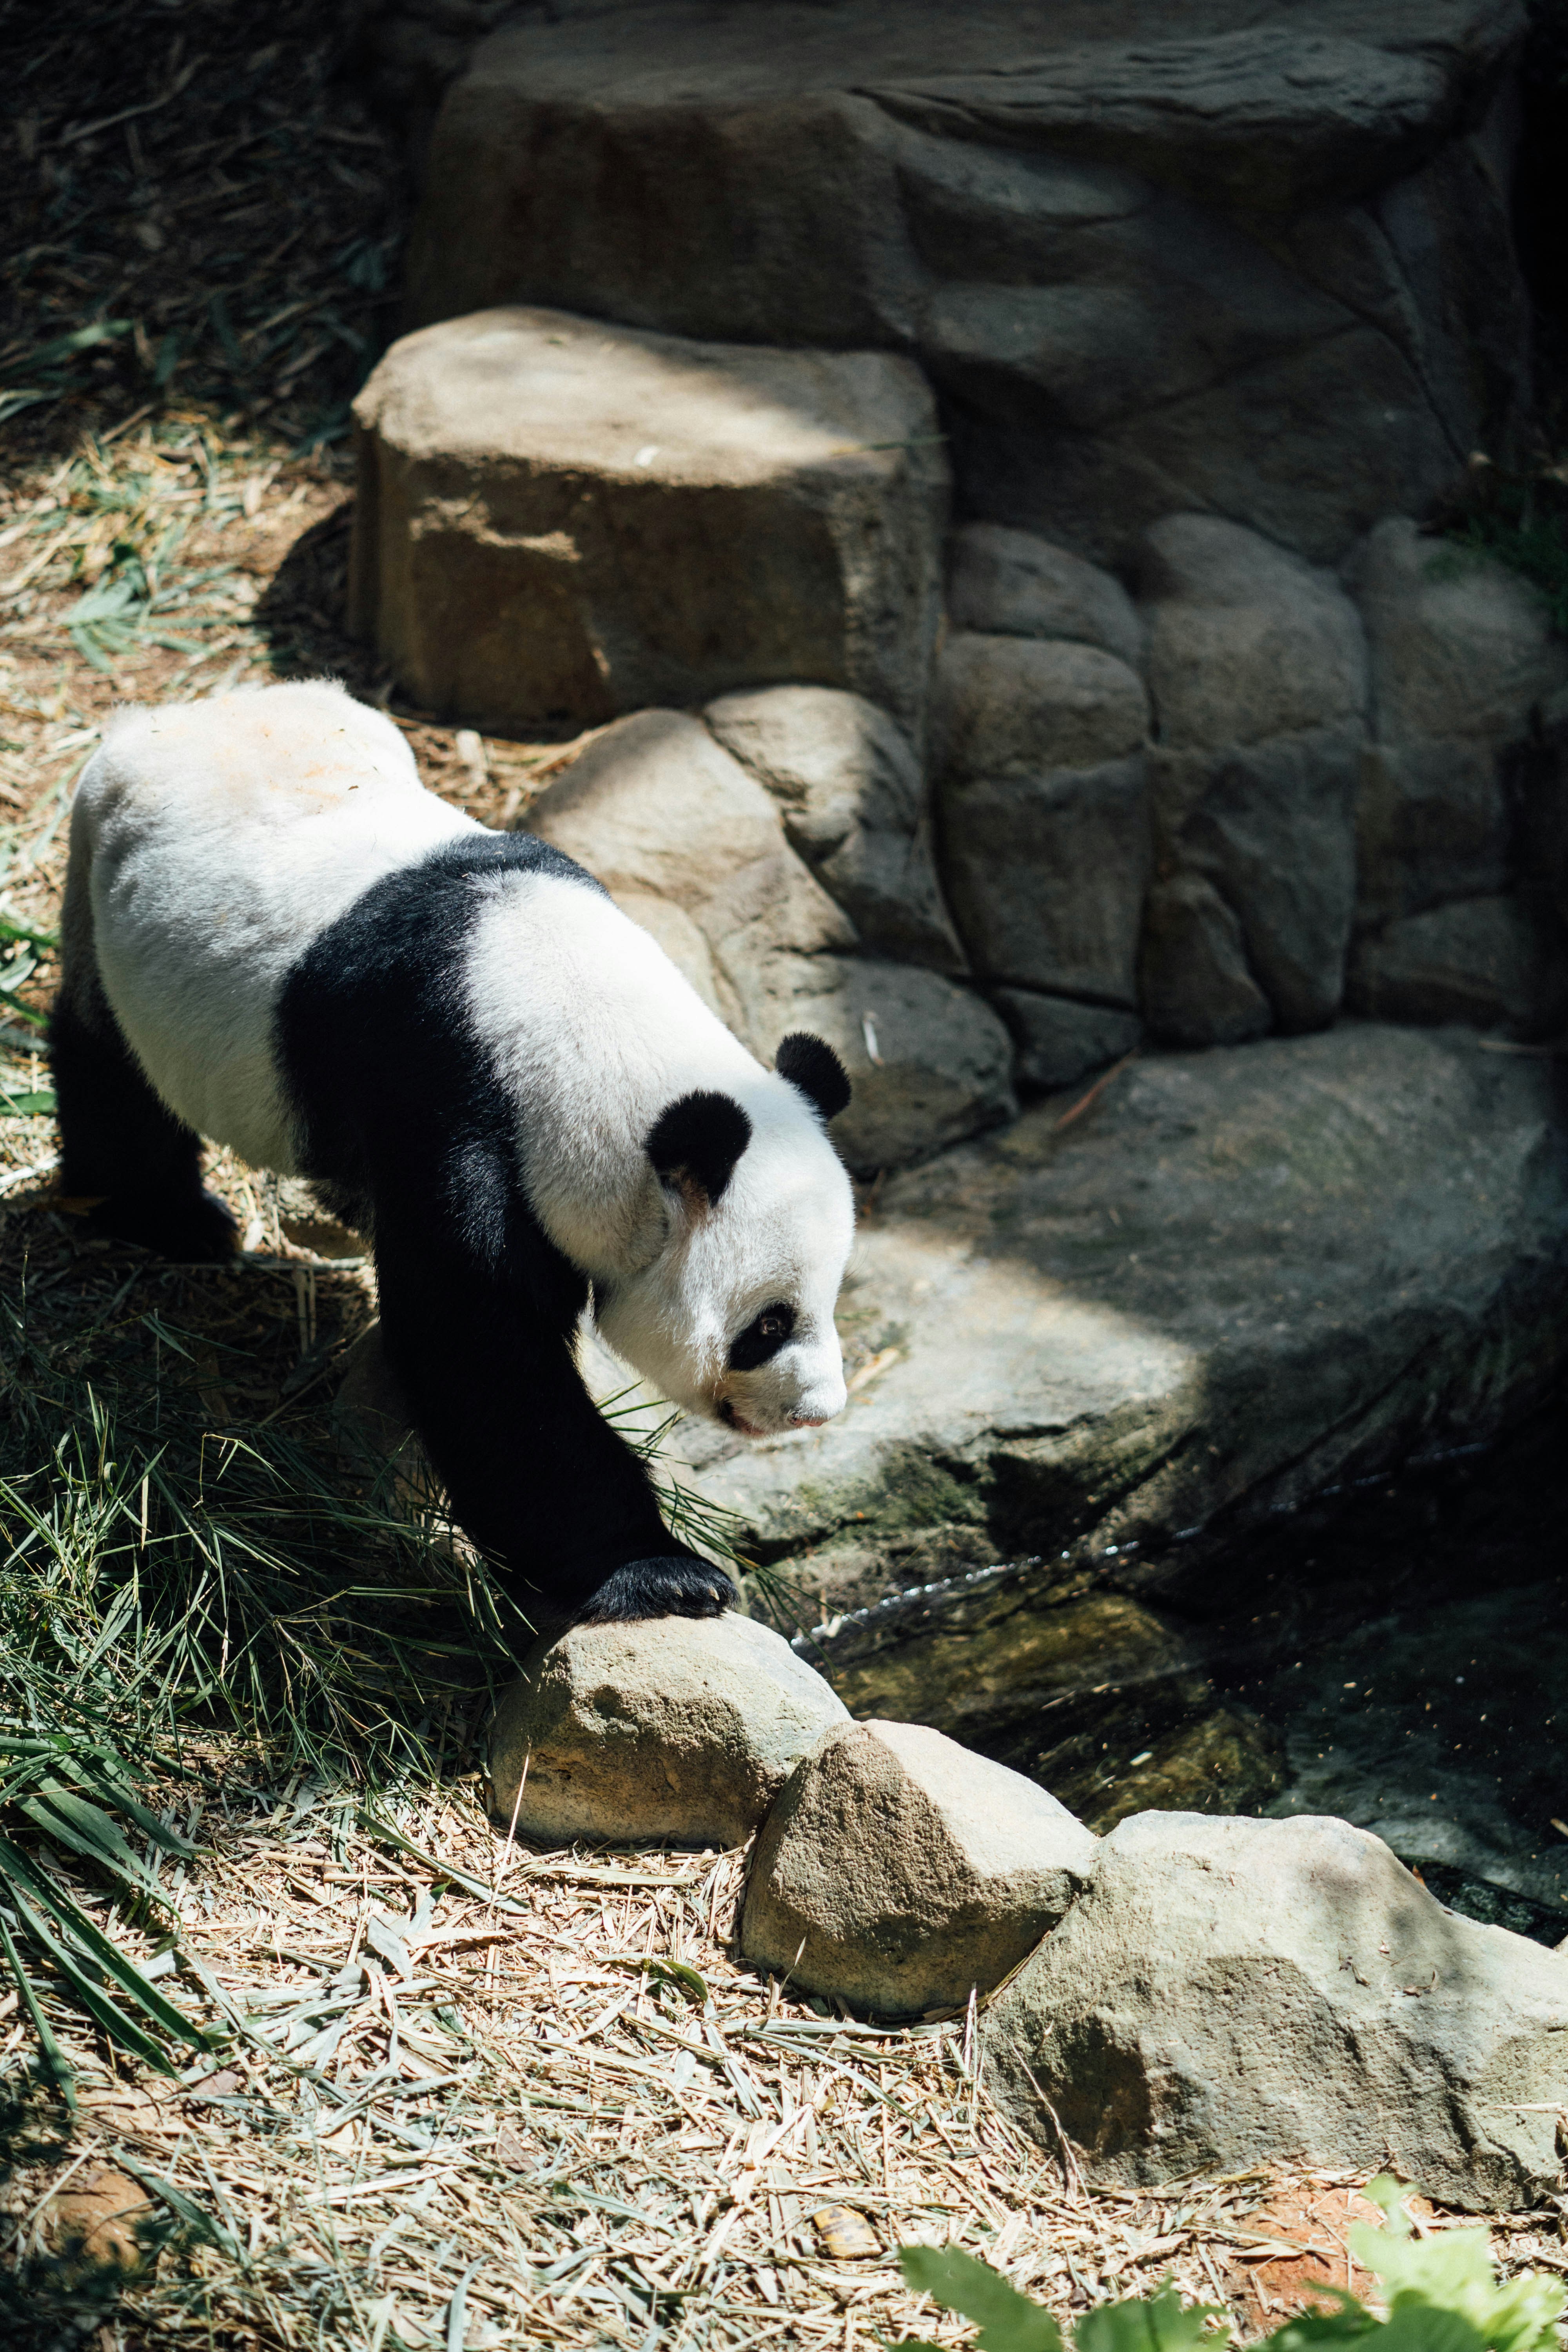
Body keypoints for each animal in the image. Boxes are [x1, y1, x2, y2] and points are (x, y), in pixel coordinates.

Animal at [52, 678, 856, 1629]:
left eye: (830, 1297)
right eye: (766, 1326)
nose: (817, 1411)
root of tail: (173, 714)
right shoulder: (447, 1103)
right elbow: (480, 1349)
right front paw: (659, 1573)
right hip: (101, 885)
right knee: (110, 1061)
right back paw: (165, 1218)